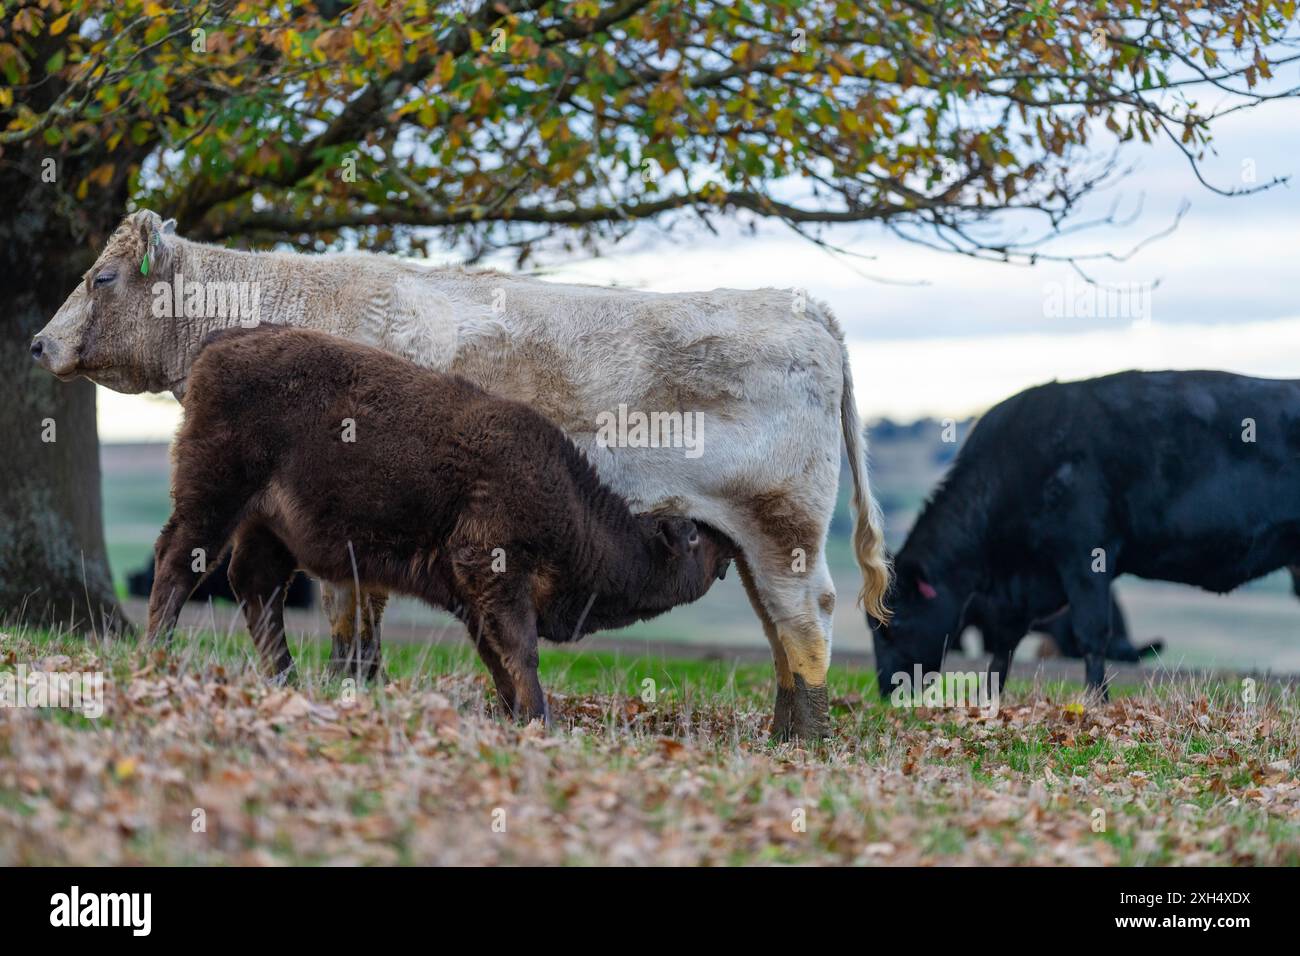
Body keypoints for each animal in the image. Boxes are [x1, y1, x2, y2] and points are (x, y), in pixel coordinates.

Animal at [147, 326, 736, 722]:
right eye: (692, 536)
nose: (726, 540)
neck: (567, 499)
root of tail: (225, 341)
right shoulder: (497, 573)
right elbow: (521, 650)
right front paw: (540, 718)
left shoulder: (476, 600)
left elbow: (498, 657)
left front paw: (516, 713)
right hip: (214, 497)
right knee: (180, 563)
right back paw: (156, 654)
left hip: (266, 528)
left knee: (255, 586)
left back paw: (285, 678)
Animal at [871, 370, 1300, 698]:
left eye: (894, 625)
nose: (886, 688)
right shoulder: (1025, 584)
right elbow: (1004, 642)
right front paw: (988, 698)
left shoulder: (1085, 555)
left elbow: (1091, 635)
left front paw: (1097, 702)